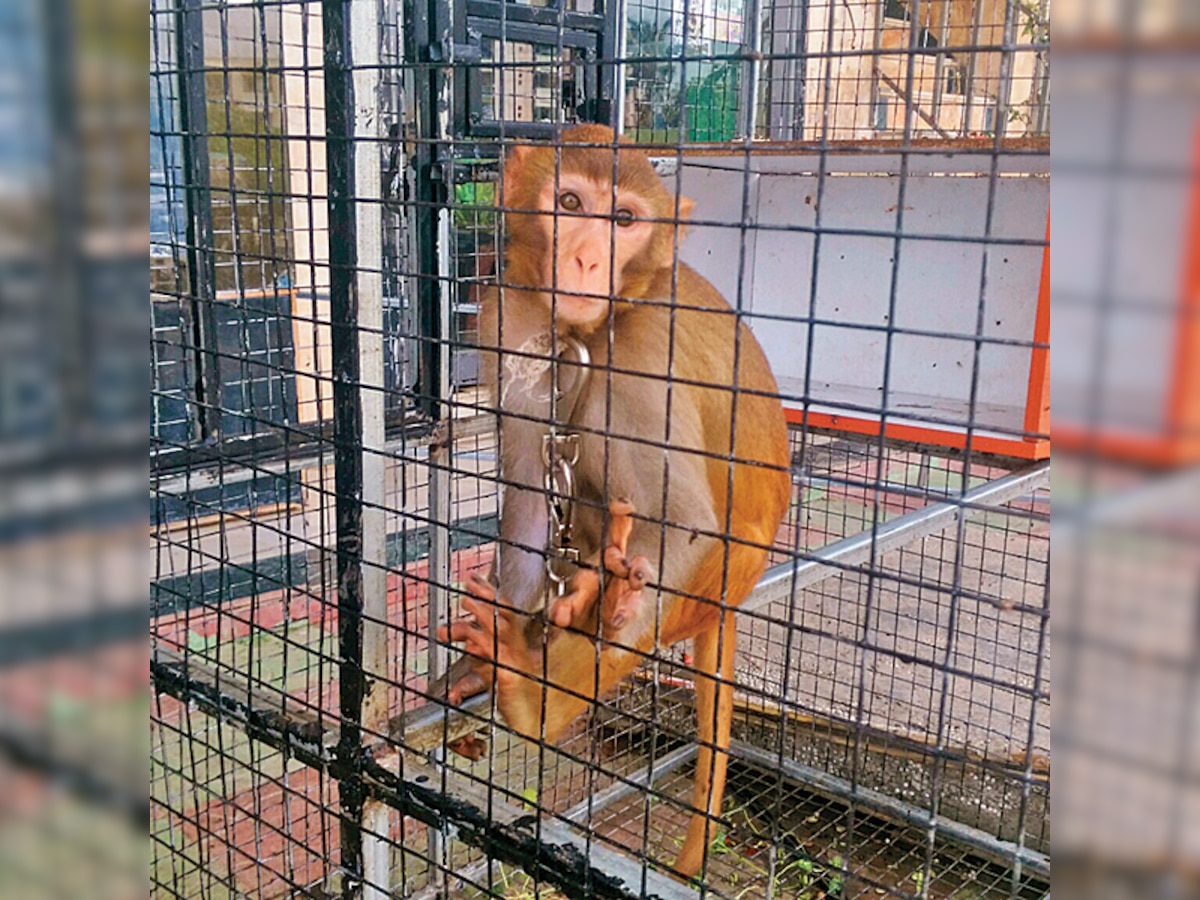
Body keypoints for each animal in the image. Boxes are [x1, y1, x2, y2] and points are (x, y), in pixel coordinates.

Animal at [435, 123, 791, 879]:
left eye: (624, 220)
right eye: (570, 202)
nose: (587, 256)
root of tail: (737, 600)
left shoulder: (643, 354)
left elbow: (684, 524)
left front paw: (536, 698)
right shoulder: (510, 314)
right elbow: (527, 501)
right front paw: (475, 664)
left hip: (710, 585)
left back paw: (540, 686)